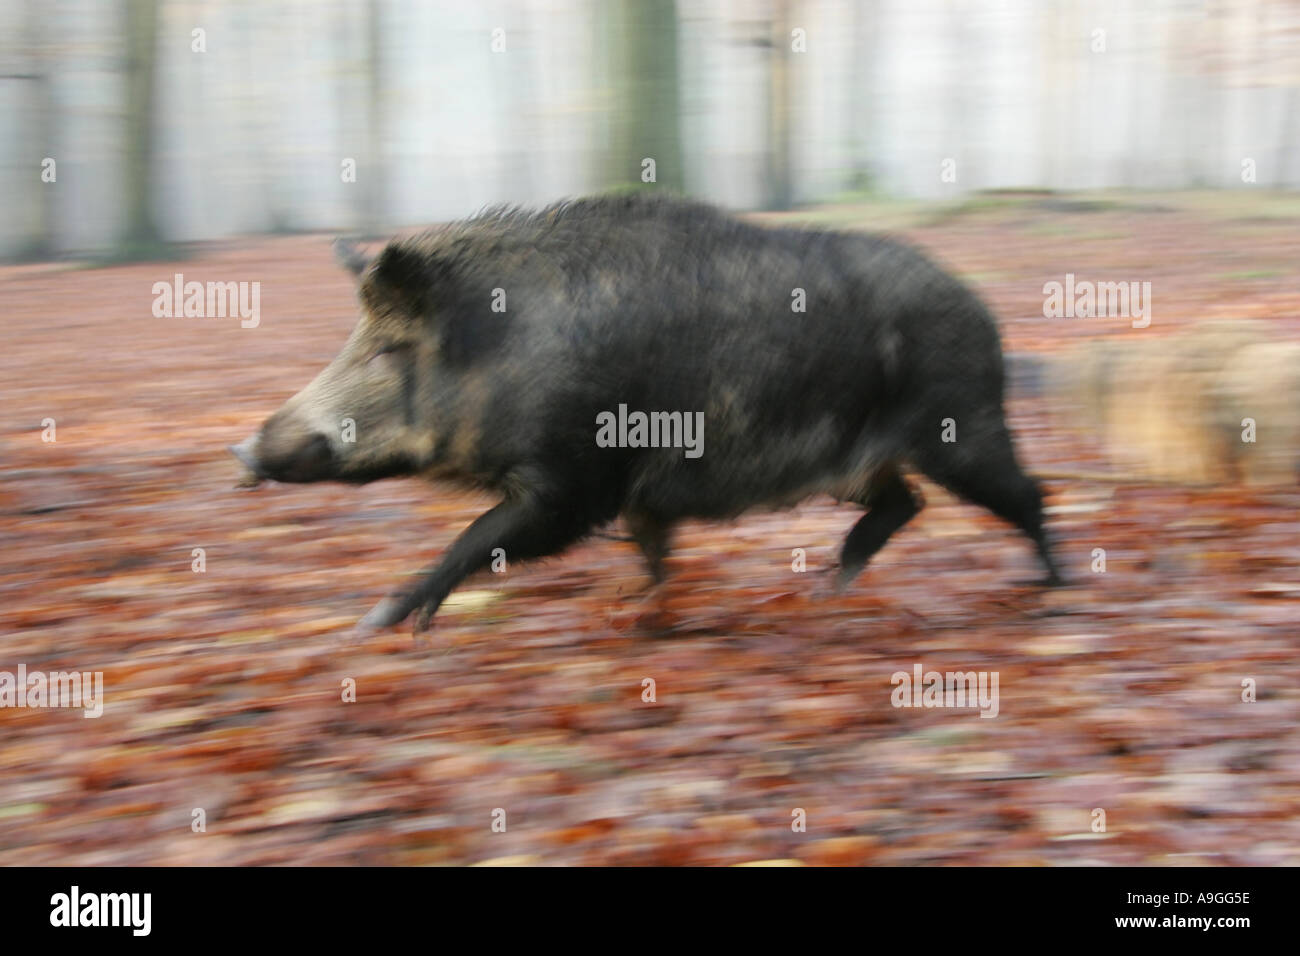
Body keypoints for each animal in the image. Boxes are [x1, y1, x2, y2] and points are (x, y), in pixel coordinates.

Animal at [231, 193, 1061, 634]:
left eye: (386, 349)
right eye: (355, 339)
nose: (245, 450)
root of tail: (981, 309)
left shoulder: (574, 482)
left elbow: (477, 539)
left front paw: (380, 624)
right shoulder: (635, 491)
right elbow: (653, 548)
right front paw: (640, 608)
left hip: (960, 426)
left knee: (1027, 492)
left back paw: (1050, 589)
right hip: (862, 461)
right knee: (904, 501)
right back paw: (832, 586)